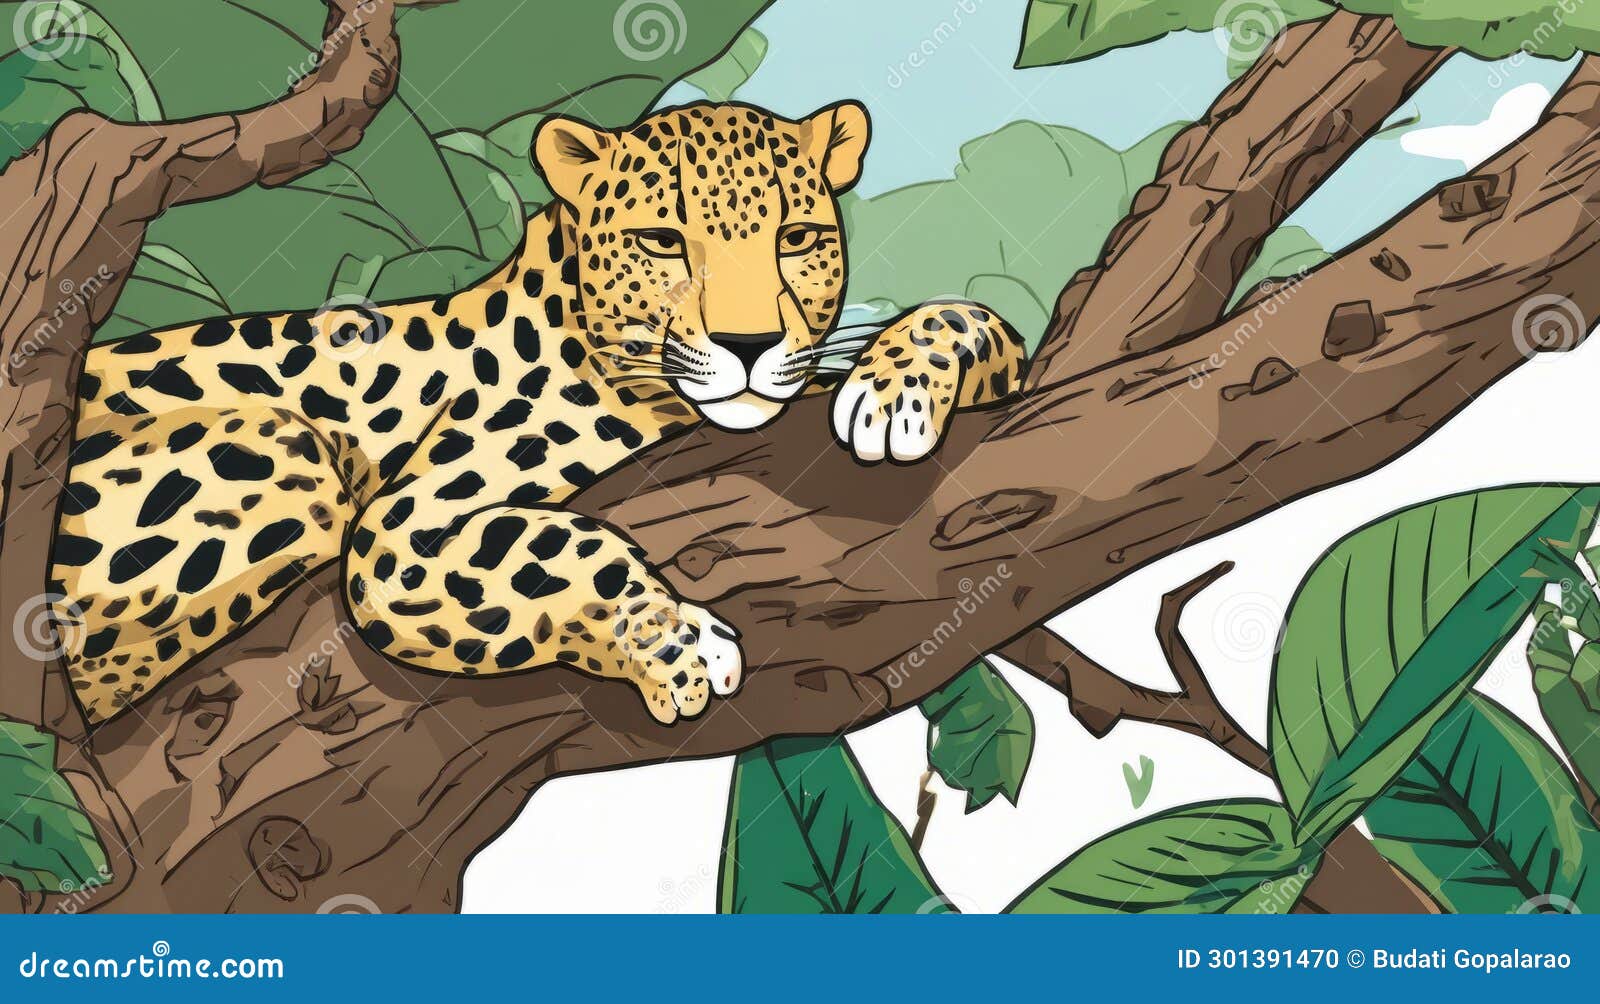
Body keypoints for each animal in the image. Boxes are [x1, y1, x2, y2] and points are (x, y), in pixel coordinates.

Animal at [49, 100, 1028, 726]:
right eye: (662, 241)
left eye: (797, 239)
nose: (749, 344)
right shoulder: (401, 535)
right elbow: (559, 549)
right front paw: (674, 644)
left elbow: (982, 330)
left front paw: (901, 384)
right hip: (286, 451)